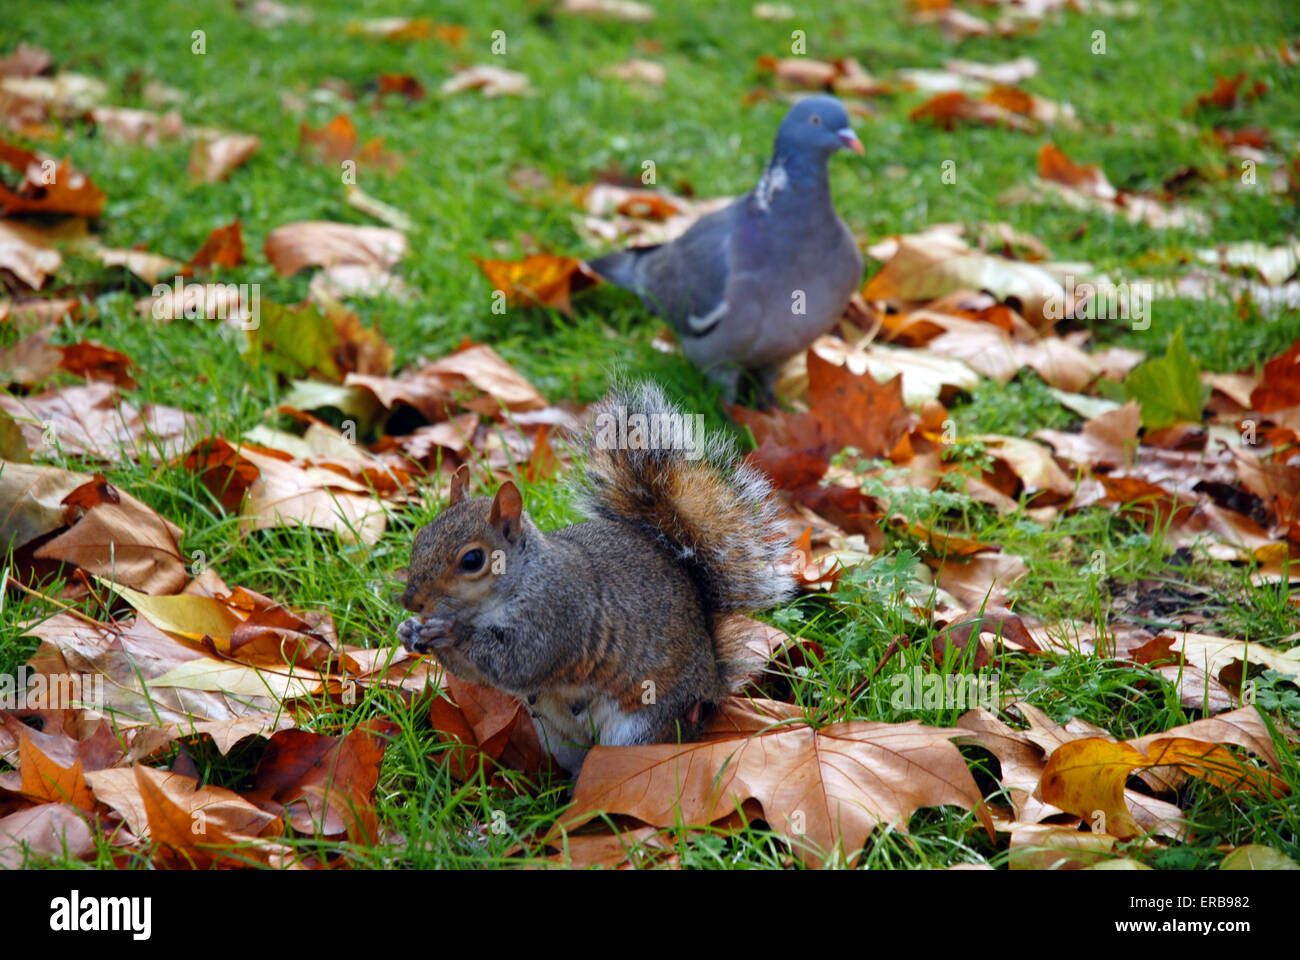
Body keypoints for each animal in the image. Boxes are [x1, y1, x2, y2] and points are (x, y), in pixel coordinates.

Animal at [397, 381, 795, 773]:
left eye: (473, 559)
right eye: (420, 536)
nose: (411, 601)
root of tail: (711, 681)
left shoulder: (558, 615)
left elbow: (519, 662)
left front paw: (452, 632)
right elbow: (476, 675)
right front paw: (409, 630)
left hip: (642, 725)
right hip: (555, 735)